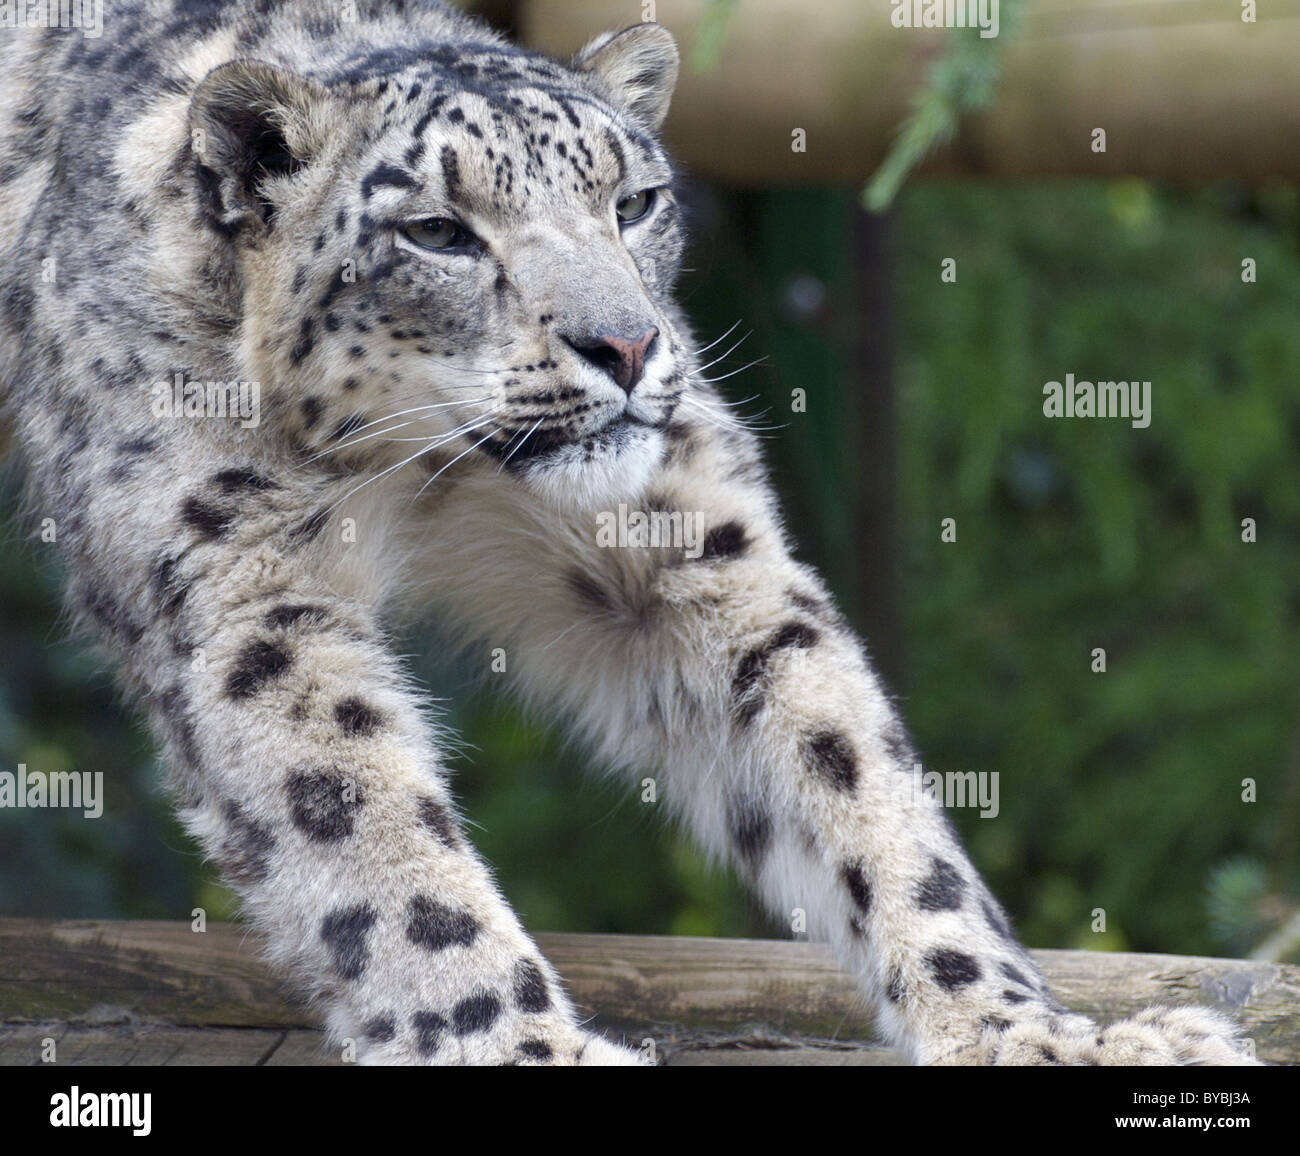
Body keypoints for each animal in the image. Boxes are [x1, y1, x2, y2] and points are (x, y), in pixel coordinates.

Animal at [0, 0, 1259, 1065]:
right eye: (439, 232)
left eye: (635, 201)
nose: (627, 344)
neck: (423, 479)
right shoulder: (244, 590)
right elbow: (365, 826)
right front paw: (516, 1042)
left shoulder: (699, 553)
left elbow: (855, 774)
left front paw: (1030, 1030)